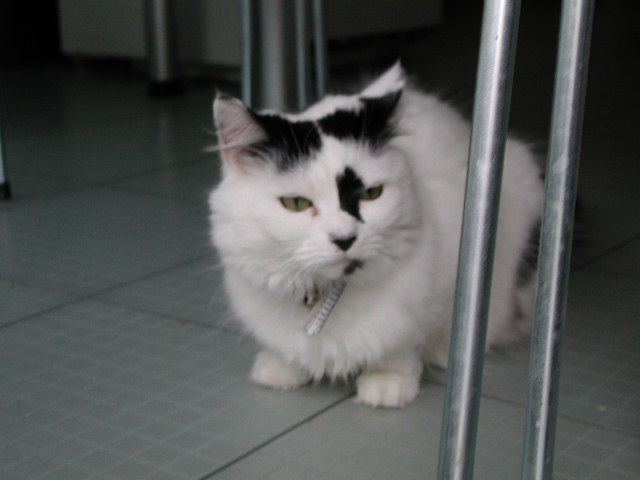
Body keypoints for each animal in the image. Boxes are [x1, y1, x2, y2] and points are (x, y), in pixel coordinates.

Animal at [208, 62, 544, 408]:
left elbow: (405, 344)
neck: (324, 296)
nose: (344, 238)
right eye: (296, 203)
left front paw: (388, 383)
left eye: (371, 194)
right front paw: (282, 369)